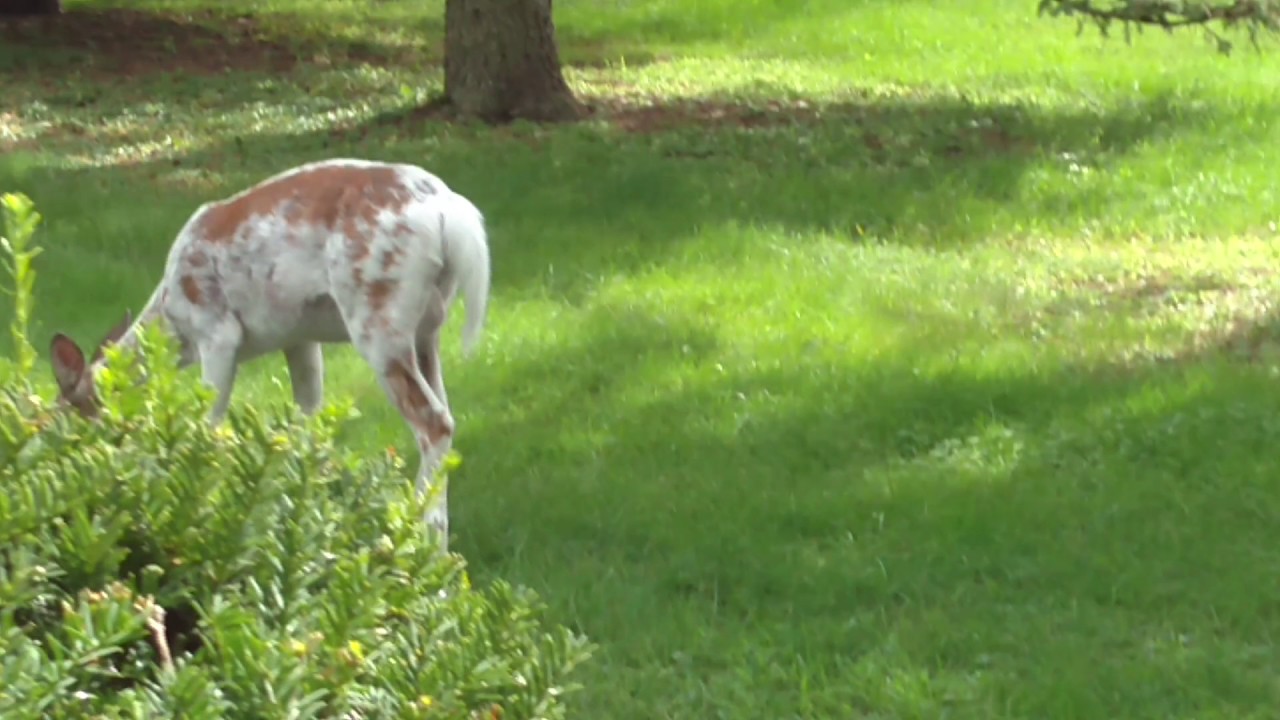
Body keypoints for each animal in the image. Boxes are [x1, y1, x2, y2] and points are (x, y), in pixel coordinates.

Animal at [47, 158, 491, 551]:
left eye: (64, 418)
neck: (174, 322)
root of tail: (450, 211)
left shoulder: (217, 330)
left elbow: (209, 427)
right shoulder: (299, 338)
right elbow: (307, 424)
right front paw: (297, 509)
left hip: (377, 314)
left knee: (433, 422)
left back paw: (422, 535)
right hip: (427, 330)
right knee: (446, 413)